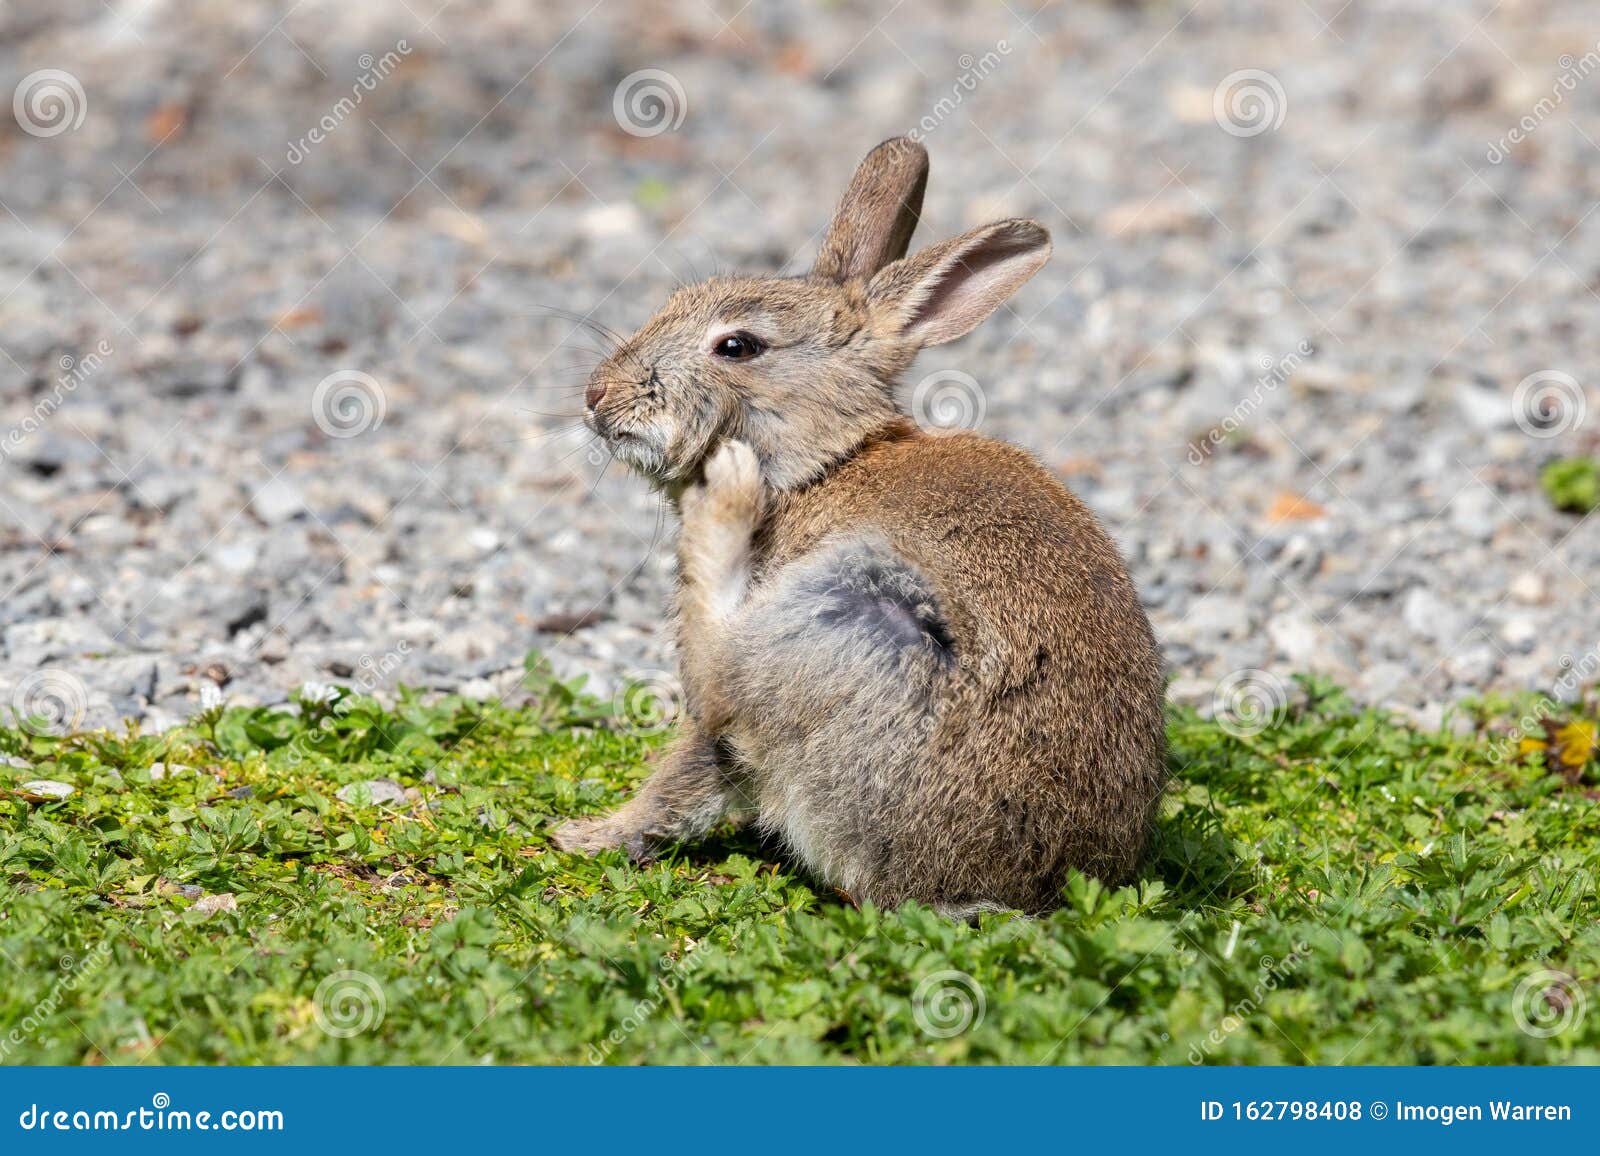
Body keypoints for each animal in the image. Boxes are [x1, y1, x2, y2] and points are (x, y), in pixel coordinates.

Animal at [552, 137, 1166, 916]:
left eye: (737, 347)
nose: (597, 395)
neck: (828, 460)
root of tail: (1005, 887)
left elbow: (693, 758)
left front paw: (586, 834)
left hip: (843, 617)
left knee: (722, 678)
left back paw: (727, 491)